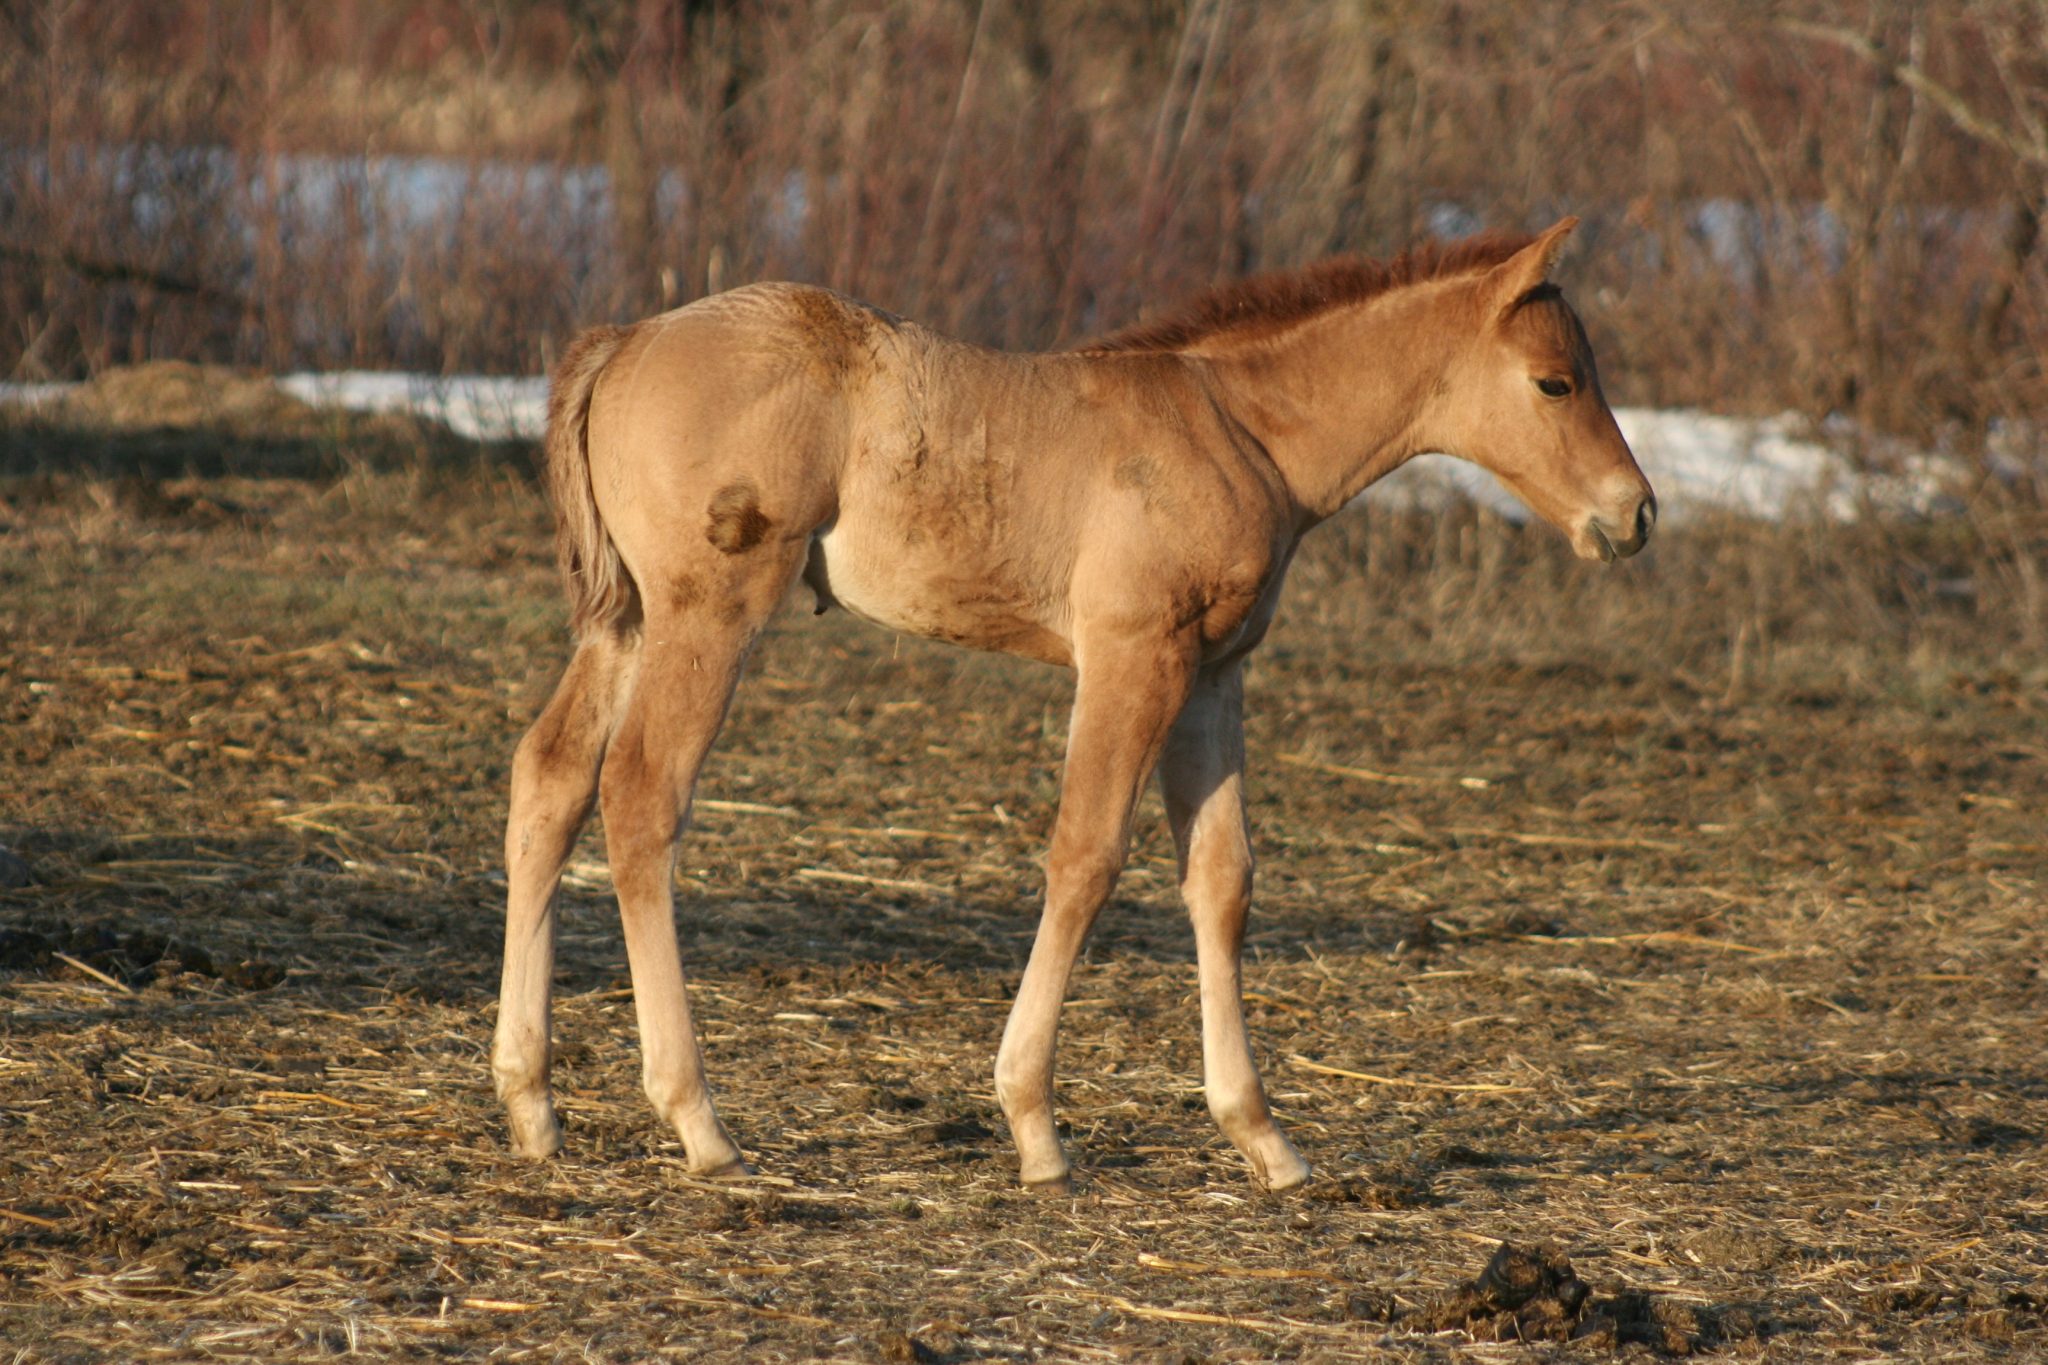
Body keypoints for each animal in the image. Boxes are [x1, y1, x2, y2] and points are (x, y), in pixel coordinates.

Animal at [491, 217, 1655, 1193]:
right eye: (1556, 382)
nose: (1634, 514)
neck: (1239, 429)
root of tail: (625, 340)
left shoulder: (1213, 673)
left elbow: (1221, 880)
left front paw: (1264, 1139)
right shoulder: (1132, 657)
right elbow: (1087, 857)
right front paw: (1035, 1126)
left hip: (626, 619)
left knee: (550, 777)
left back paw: (532, 1102)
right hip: (710, 610)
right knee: (643, 793)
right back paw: (698, 1120)